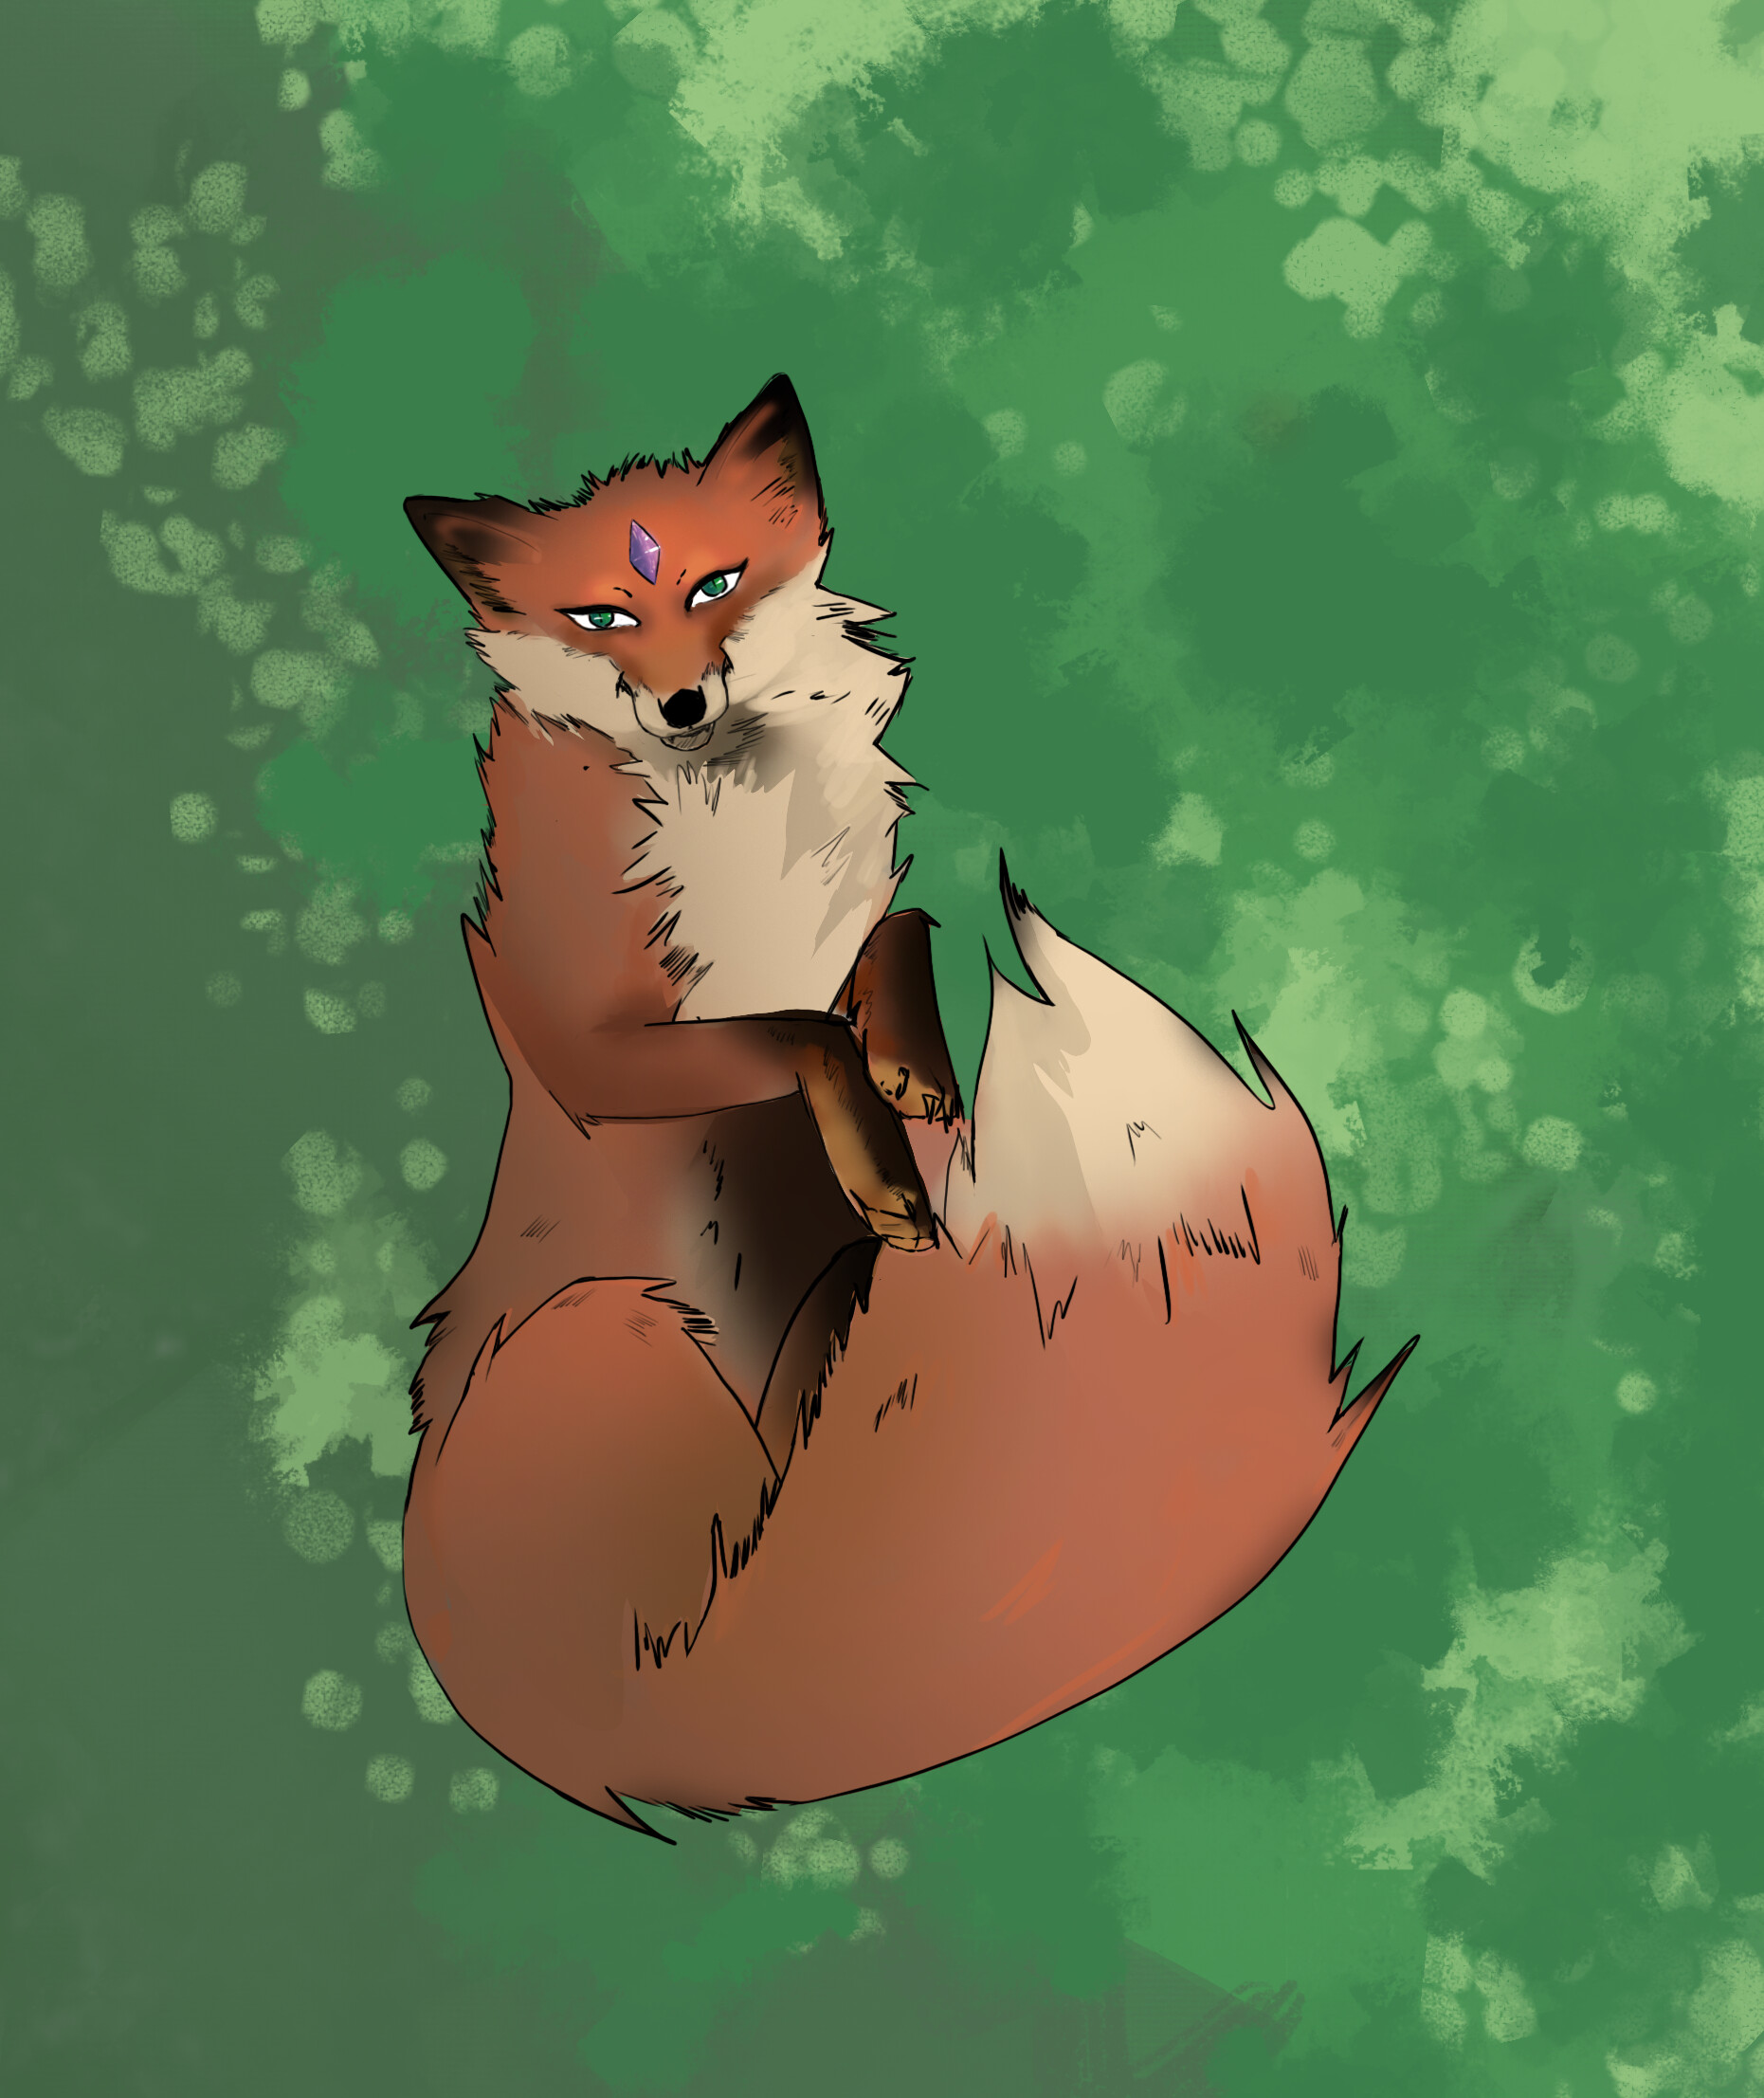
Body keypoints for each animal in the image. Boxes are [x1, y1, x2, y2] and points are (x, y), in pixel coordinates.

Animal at [399, 373, 1416, 1838]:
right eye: (601, 617)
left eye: (714, 584)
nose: (682, 703)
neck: (735, 830)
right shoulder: (590, 1045)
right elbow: (795, 1031)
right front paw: (879, 1149)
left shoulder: (847, 925)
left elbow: (889, 943)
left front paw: (915, 1074)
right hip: (619, 1328)